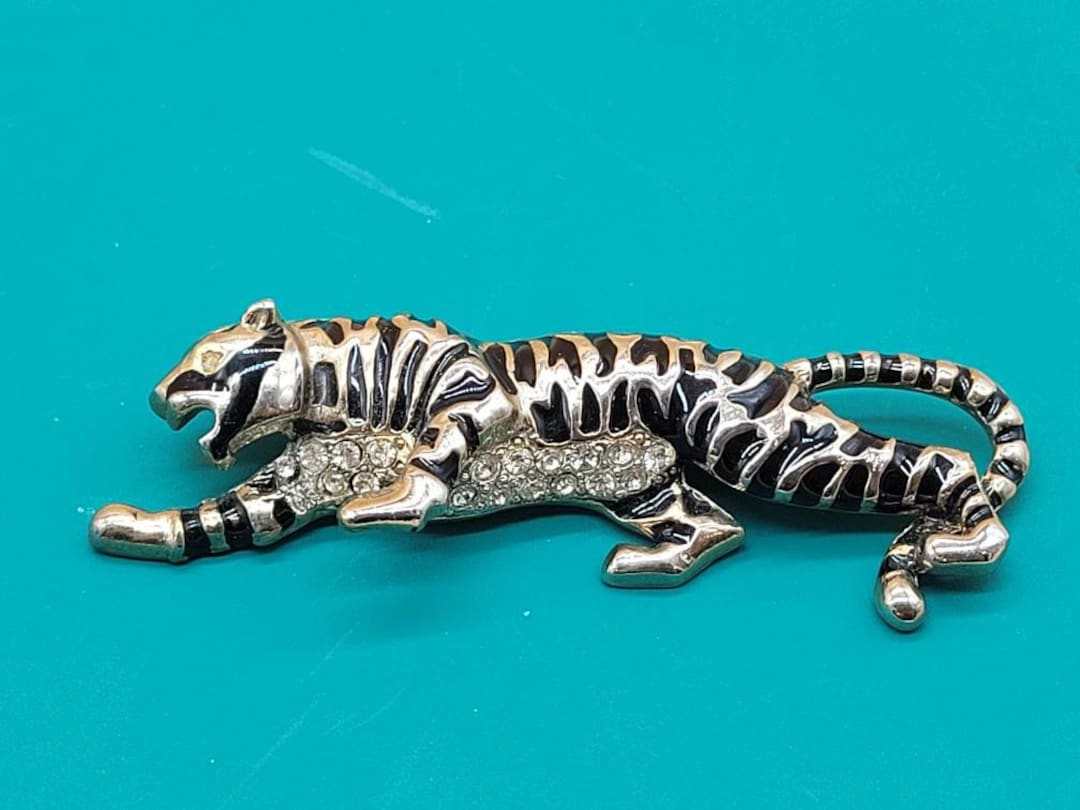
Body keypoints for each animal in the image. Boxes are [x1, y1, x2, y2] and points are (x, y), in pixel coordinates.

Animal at [90, 299, 1030, 631]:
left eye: (207, 362)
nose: (159, 394)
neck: (333, 389)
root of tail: (777, 370)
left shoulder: (471, 392)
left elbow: (435, 451)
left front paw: (401, 499)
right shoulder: (287, 489)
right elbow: (208, 523)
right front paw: (127, 525)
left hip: (771, 447)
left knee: (949, 466)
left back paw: (949, 548)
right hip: (652, 486)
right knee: (718, 530)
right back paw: (646, 565)